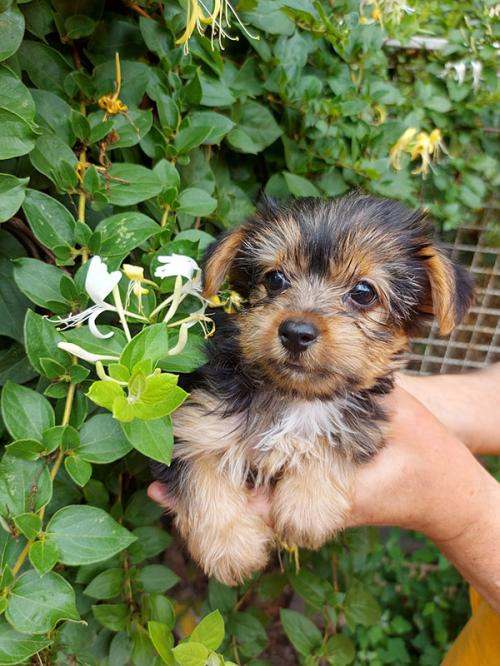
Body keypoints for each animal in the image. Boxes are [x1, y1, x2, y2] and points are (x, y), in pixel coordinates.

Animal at [152, 191, 472, 580]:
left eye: (363, 292)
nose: (295, 331)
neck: (296, 396)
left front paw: (307, 510)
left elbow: (330, 440)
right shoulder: (192, 426)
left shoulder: (360, 422)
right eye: (275, 279)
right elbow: (201, 477)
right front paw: (231, 548)